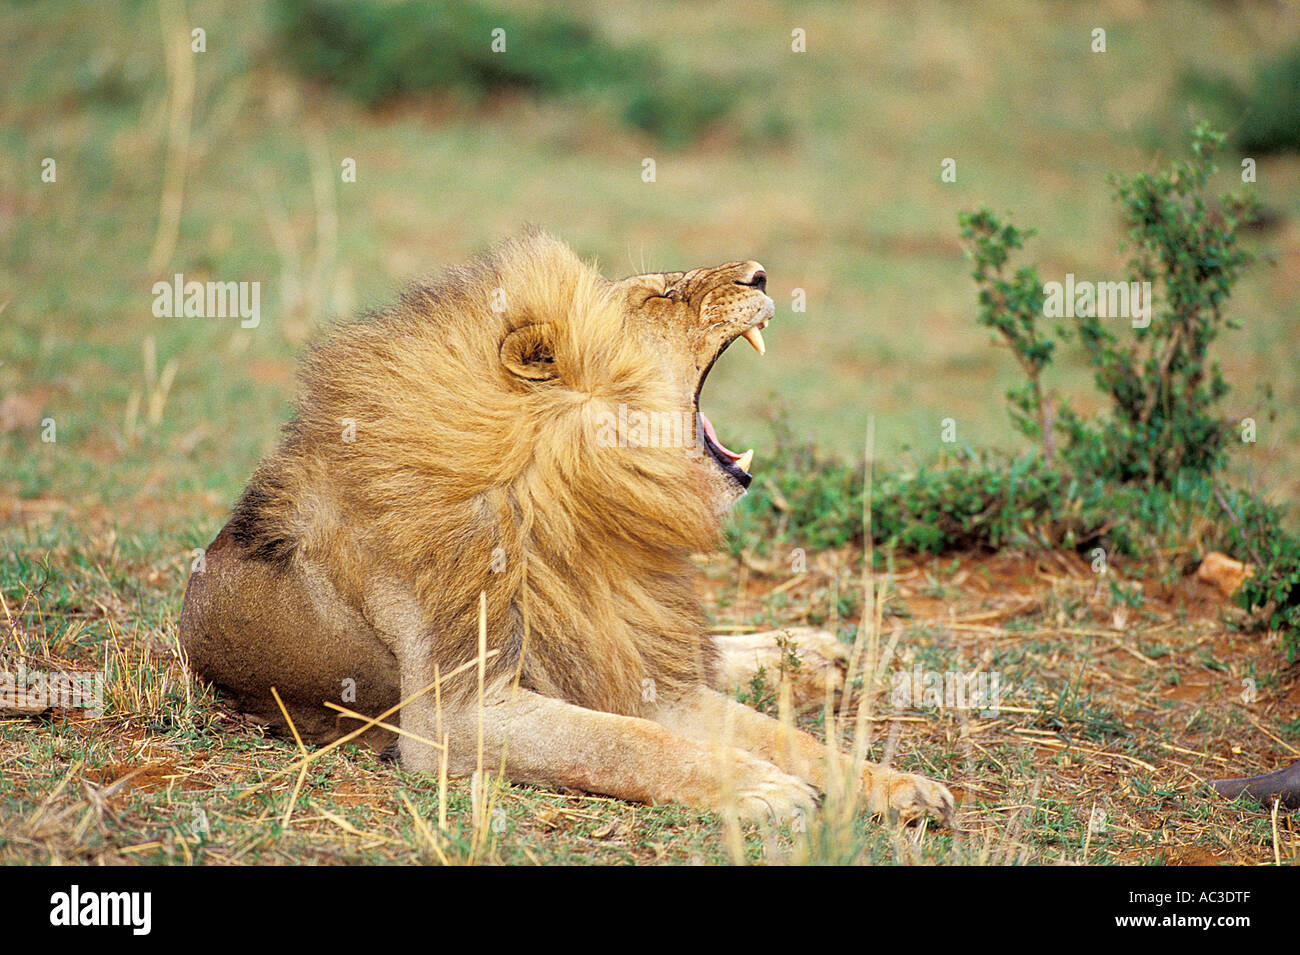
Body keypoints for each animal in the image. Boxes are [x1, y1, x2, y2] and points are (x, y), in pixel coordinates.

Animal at [178, 230, 954, 826]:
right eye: (660, 297)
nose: (761, 273)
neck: (575, 507)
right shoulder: (454, 713)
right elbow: (629, 743)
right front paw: (764, 788)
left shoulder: (623, 653)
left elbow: (784, 736)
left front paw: (895, 785)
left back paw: (816, 652)